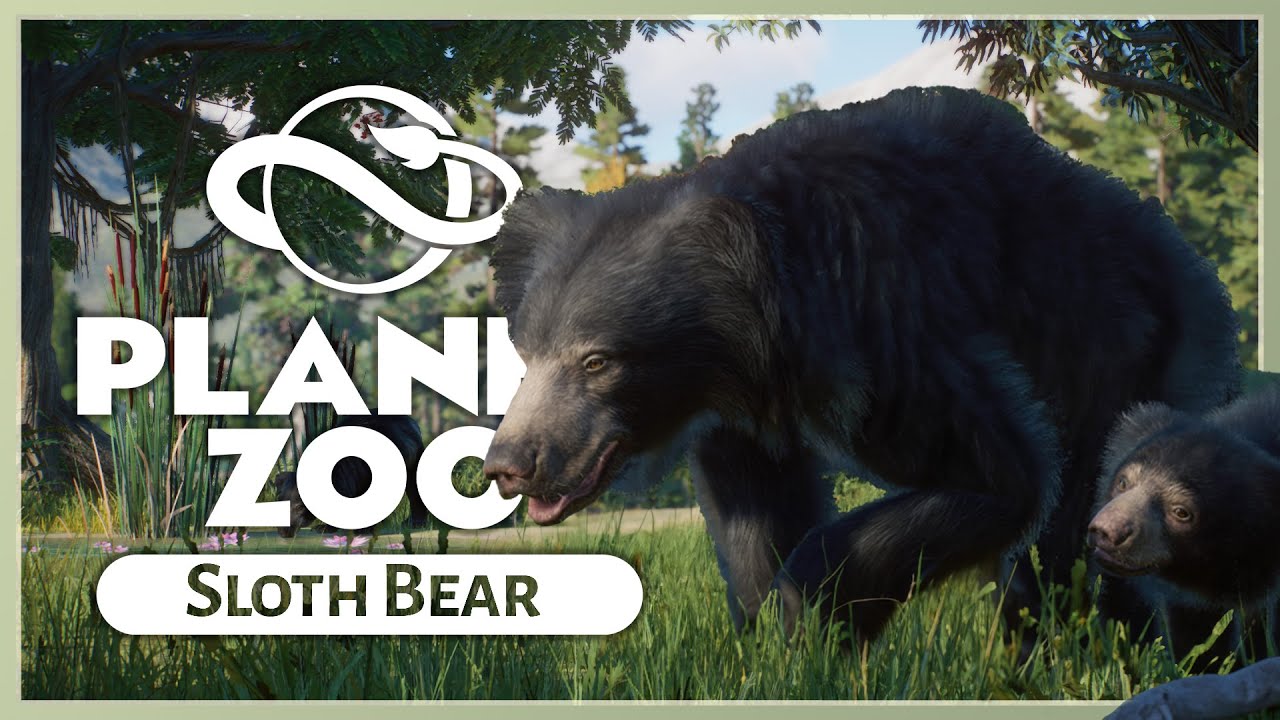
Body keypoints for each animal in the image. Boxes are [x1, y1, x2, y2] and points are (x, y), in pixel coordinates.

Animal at [274, 412, 427, 537]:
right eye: (279, 500)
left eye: (299, 506)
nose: (283, 532)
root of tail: (410, 421)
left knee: (414, 494)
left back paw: (414, 523)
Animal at [483, 87, 1242, 642]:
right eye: (526, 352)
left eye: (597, 360)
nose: (509, 464)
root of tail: (1190, 264)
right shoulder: (743, 412)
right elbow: (755, 514)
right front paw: (769, 643)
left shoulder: (890, 329)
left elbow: (1002, 474)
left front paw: (812, 616)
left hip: (1112, 353)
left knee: (1080, 541)